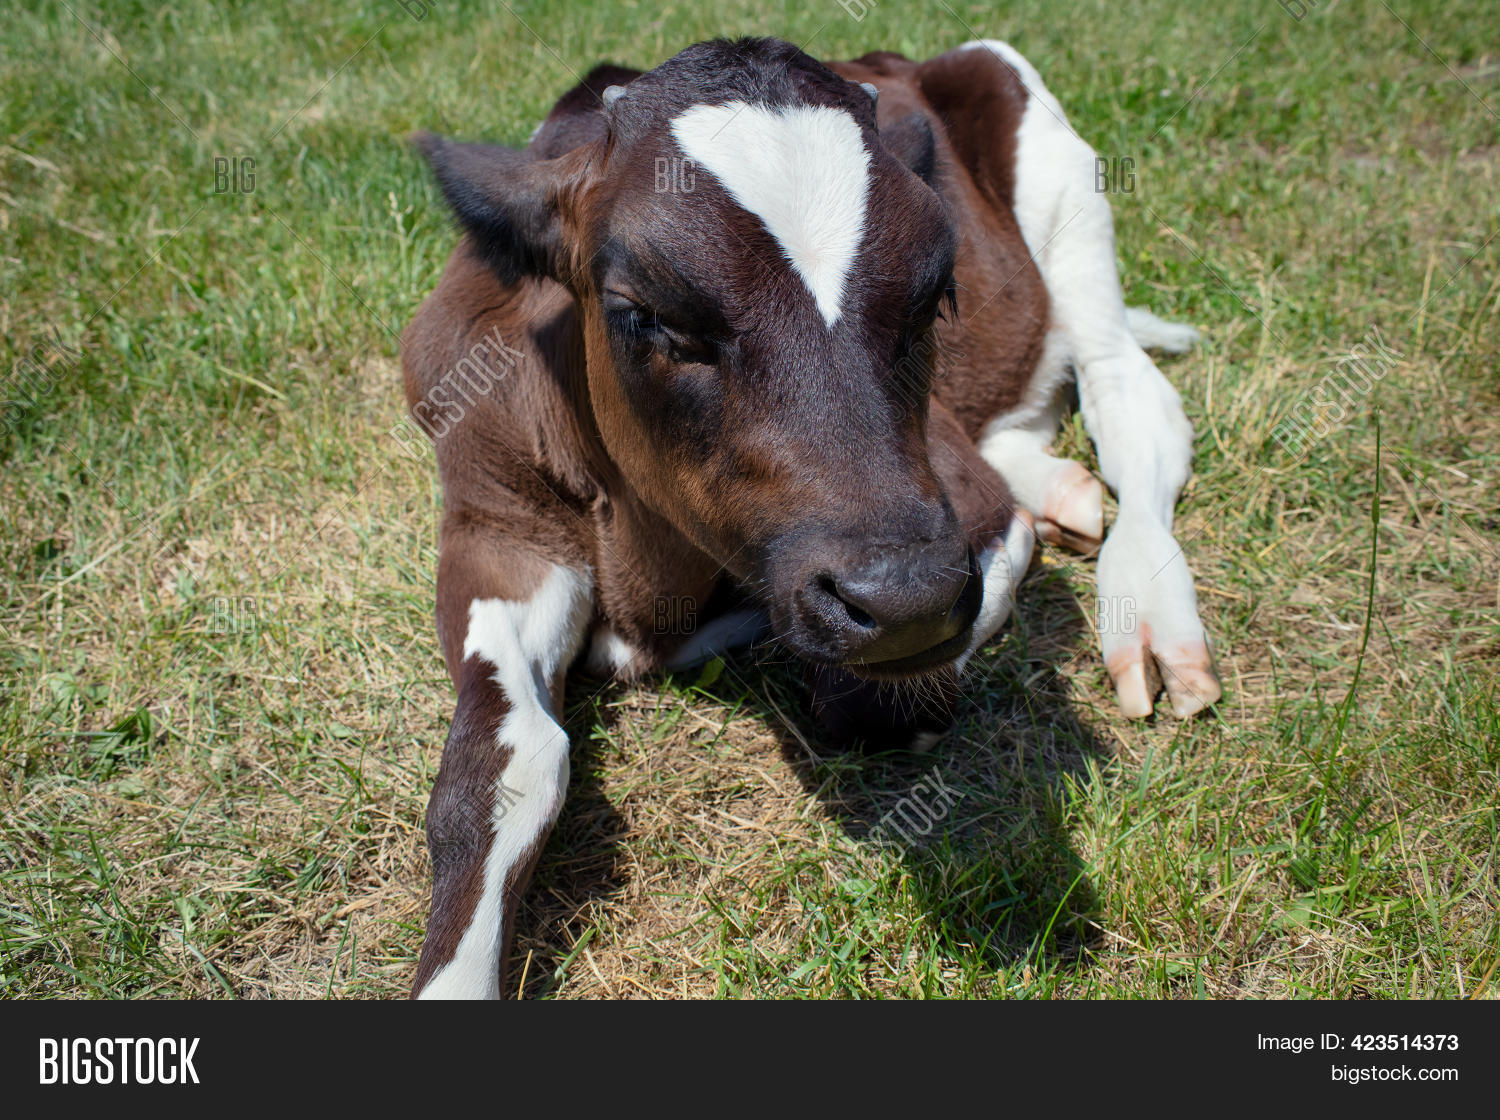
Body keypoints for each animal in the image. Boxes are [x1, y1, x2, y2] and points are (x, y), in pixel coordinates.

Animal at [400, 36, 1222, 999]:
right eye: (647, 314)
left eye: (936, 295)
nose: (906, 597)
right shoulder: (493, 521)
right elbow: (496, 771)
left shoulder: (959, 507)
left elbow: (870, 696)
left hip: (1063, 194)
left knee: (1131, 402)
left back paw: (1150, 610)